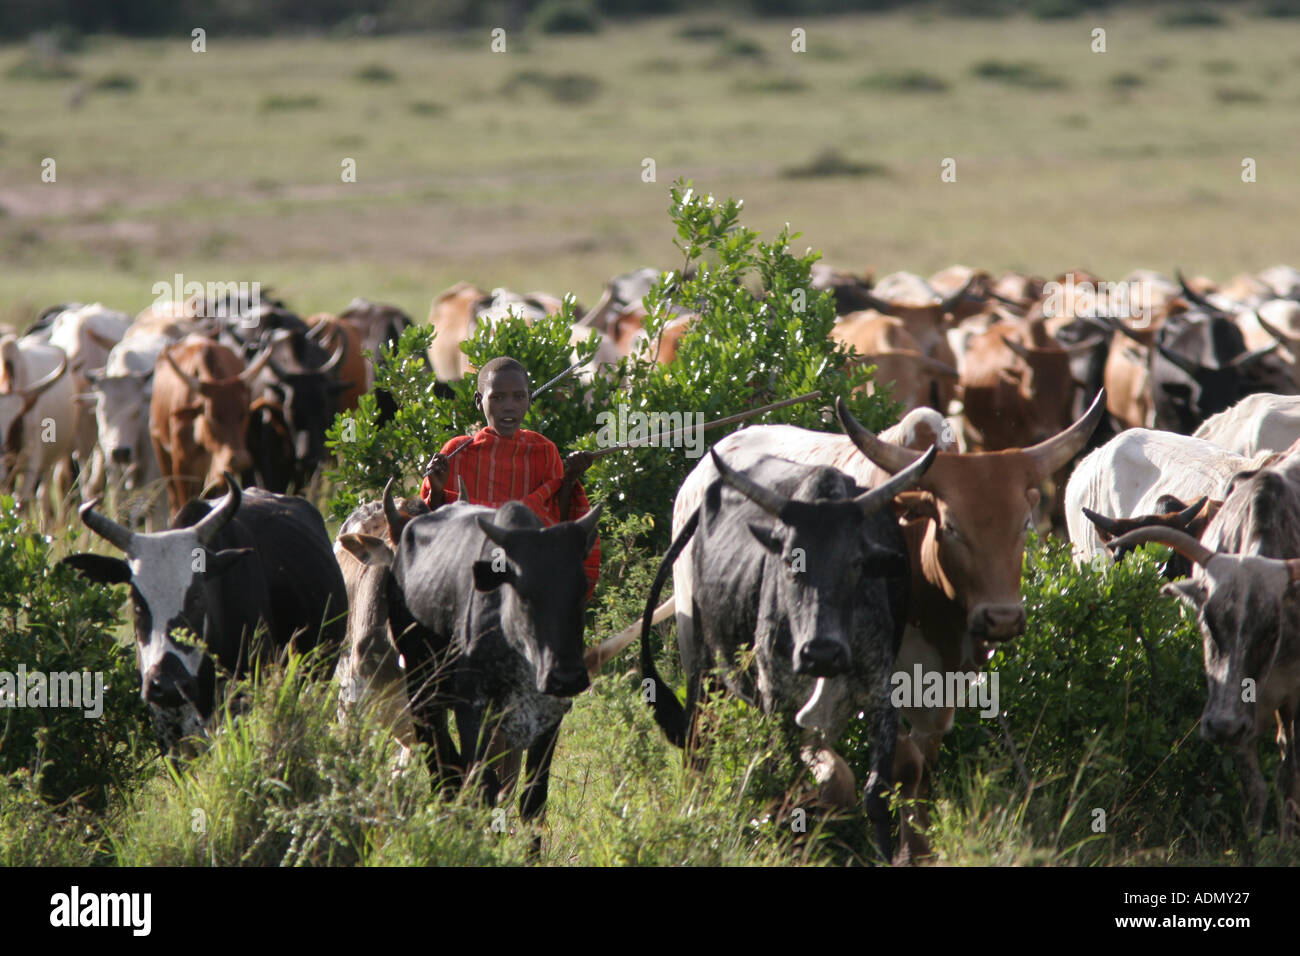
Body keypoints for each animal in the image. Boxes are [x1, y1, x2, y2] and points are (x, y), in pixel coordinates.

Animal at [150, 335, 269, 516]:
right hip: (160, 449)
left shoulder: (224, 469)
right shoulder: (181, 466)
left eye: (243, 414)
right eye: (211, 415)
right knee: (173, 499)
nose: (241, 459)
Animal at [640, 442, 938, 858]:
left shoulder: (881, 699)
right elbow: (792, 788)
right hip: (704, 667)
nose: (821, 653)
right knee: (699, 744)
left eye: (857, 562)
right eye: (788, 560)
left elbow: (875, 793)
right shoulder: (777, 702)